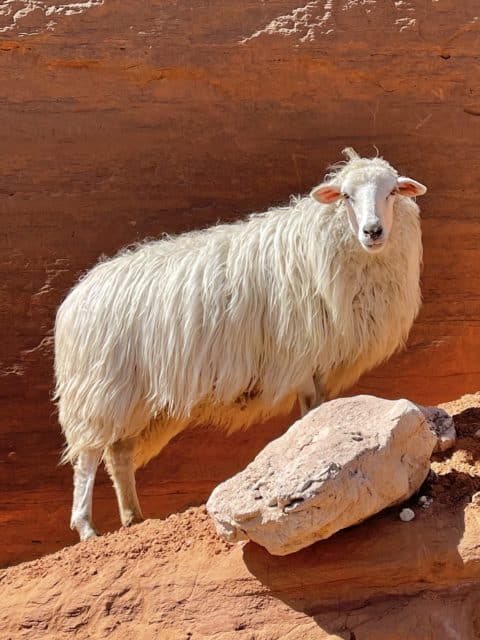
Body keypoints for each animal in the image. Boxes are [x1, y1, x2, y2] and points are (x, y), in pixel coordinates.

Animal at [54, 147, 427, 541]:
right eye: (346, 196)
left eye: (392, 192)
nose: (373, 231)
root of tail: (77, 294)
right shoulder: (301, 357)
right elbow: (310, 412)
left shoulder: (322, 362)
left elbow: (320, 410)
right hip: (98, 392)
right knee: (87, 460)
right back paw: (86, 528)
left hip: (136, 400)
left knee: (119, 455)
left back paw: (133, 517)